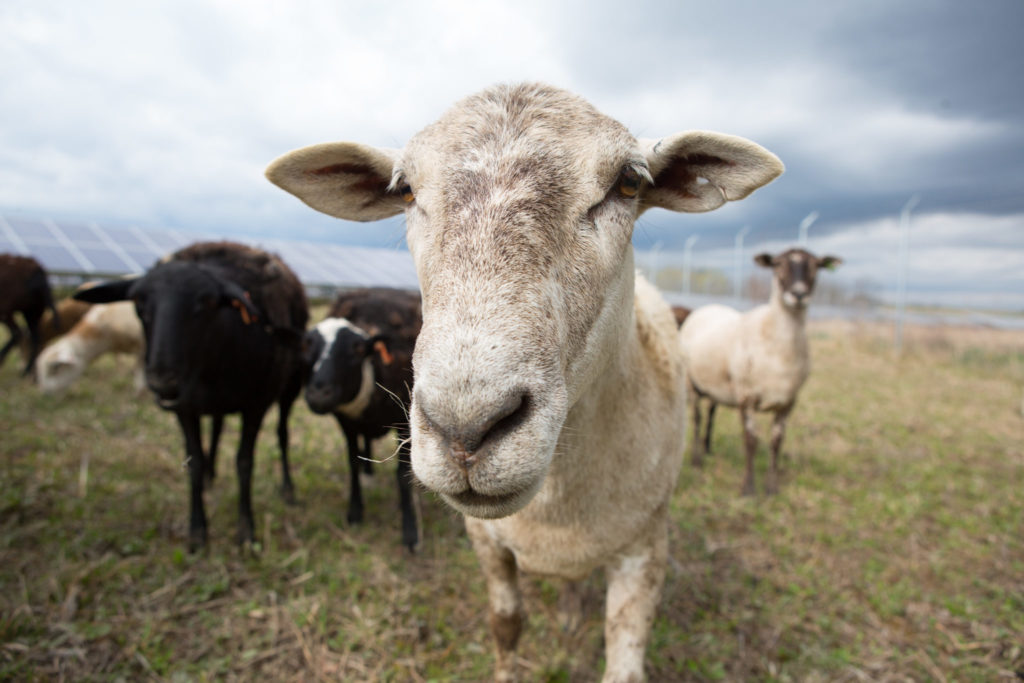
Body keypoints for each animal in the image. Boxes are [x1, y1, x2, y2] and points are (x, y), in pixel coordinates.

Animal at [75, 241, 309, 551]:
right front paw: (197, 531)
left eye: (208, 302)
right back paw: (211, 475)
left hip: (290, 385)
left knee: (282, 433)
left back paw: (288, 489)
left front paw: (246, 530)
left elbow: (244, 463)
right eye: (138, 302)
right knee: (218, 426)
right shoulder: (184, 408)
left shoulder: (255, 405)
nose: (162, 381)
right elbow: (194, 462)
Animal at [303, 287, 421, 551]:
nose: (318, 394)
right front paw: (355, 513)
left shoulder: (403, 423)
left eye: (356, 352)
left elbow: (401, 475)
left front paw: (410, 532)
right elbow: (352, 464)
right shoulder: (346, 422)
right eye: (309, 350)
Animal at [679, 248, 841, 496]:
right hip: (691, 382)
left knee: (711, 414)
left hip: (716, 386)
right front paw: (748, 487)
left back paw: (708, 449)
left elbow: (777, 441)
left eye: (816, 266)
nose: (799, 294)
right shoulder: (746, 396)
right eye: (779, 264)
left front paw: (772, 487)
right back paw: (697, 459)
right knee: (697, 418)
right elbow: (751, 440)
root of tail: (707, 307)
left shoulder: (788, 401)